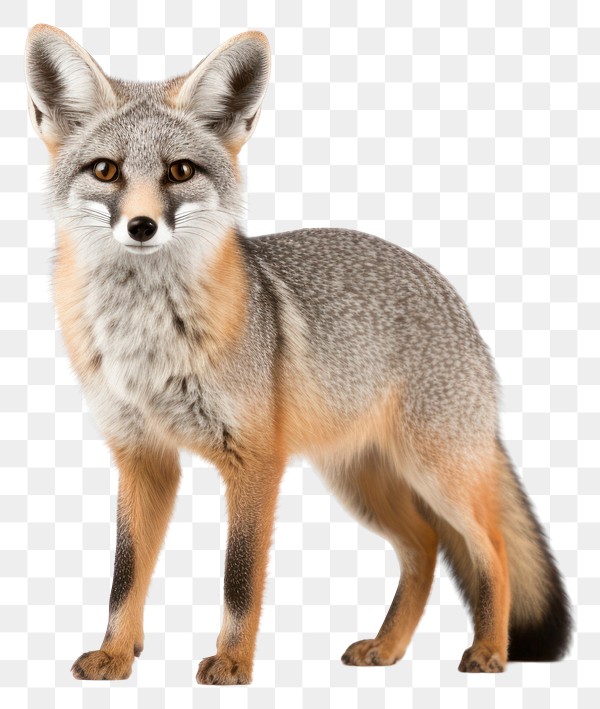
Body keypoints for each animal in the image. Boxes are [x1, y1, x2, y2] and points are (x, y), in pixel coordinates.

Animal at [24, 24, 572, 685]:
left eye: (180, 171)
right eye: (105, 171)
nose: (141, 227)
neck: (147, 343)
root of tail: (448, 292)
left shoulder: (256, 461)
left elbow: (239, 581)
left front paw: (233, 663)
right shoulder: (142, 456)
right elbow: (125, 576)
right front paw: (115, 652)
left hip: (436, 472)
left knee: (490, 549)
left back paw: (490, 650)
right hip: (359, 480)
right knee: (424, 548)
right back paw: (387, 647)